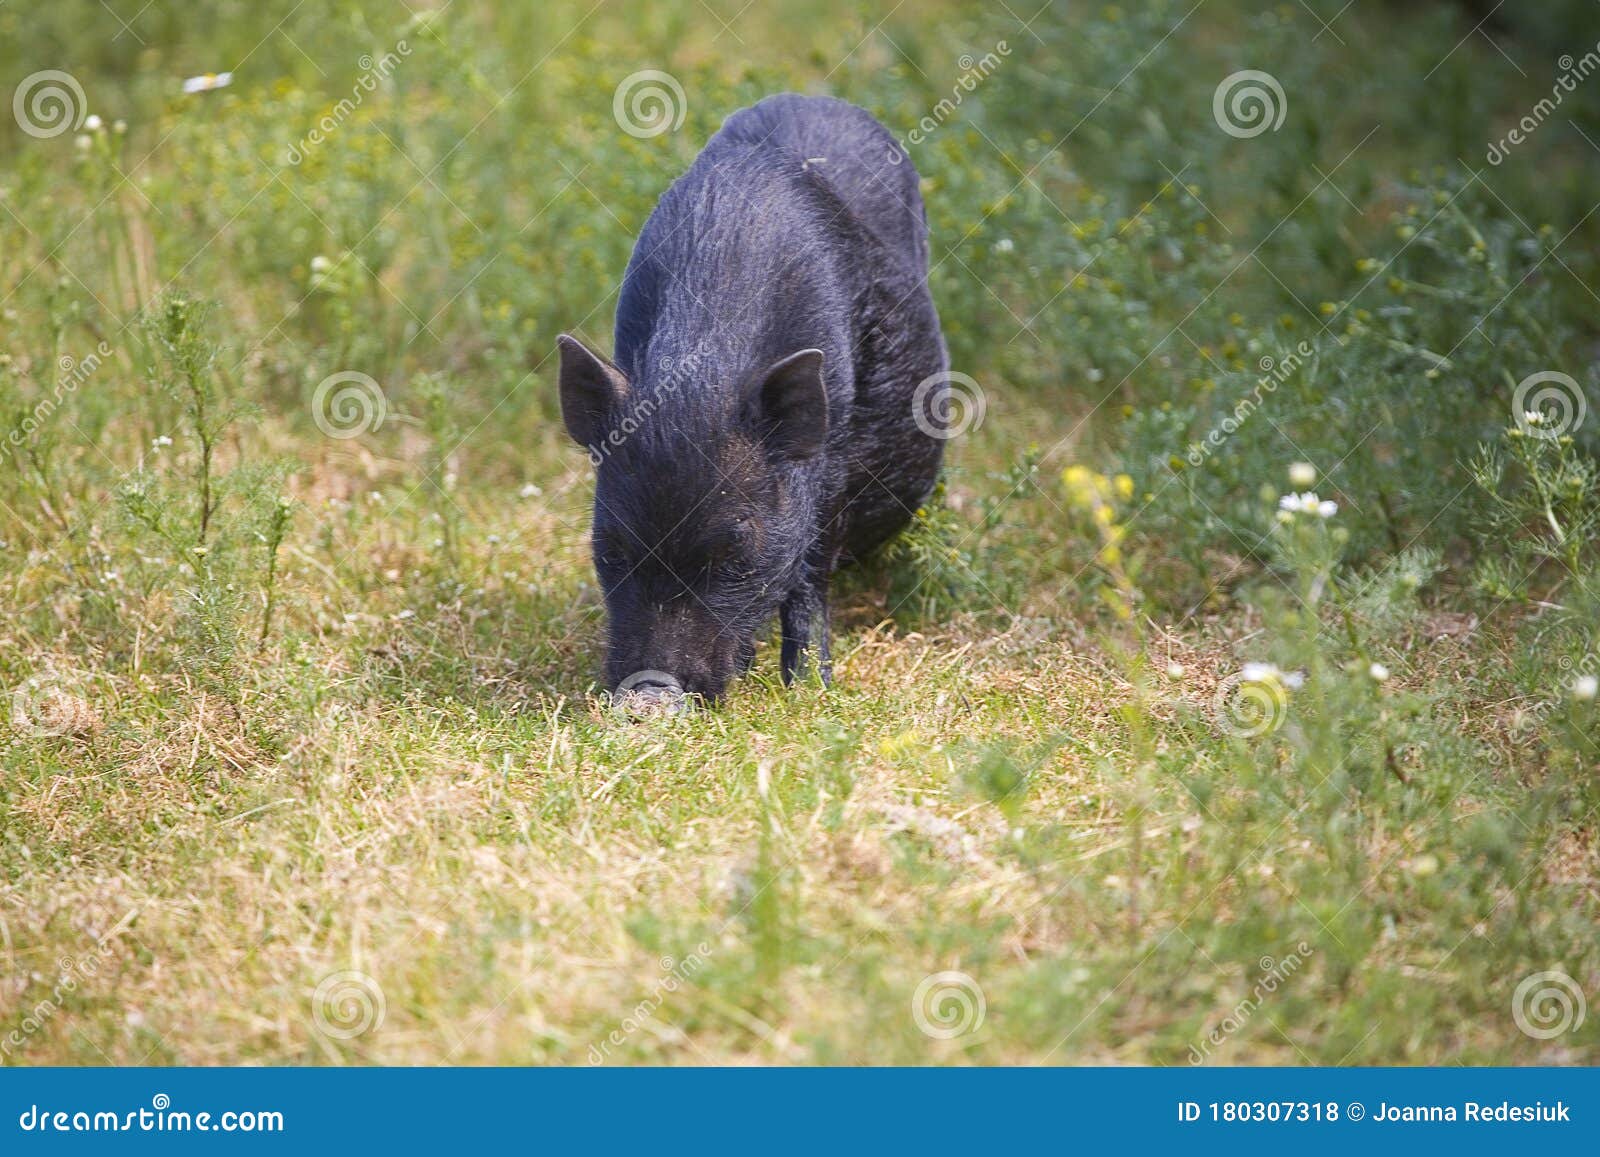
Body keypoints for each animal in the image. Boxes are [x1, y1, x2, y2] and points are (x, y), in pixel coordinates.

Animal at [556, 93, 949, 708]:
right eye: (612, 548)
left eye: (733, 554)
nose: (651, 692)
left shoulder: (830, 462)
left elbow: (810, 571)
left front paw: (809, 692)